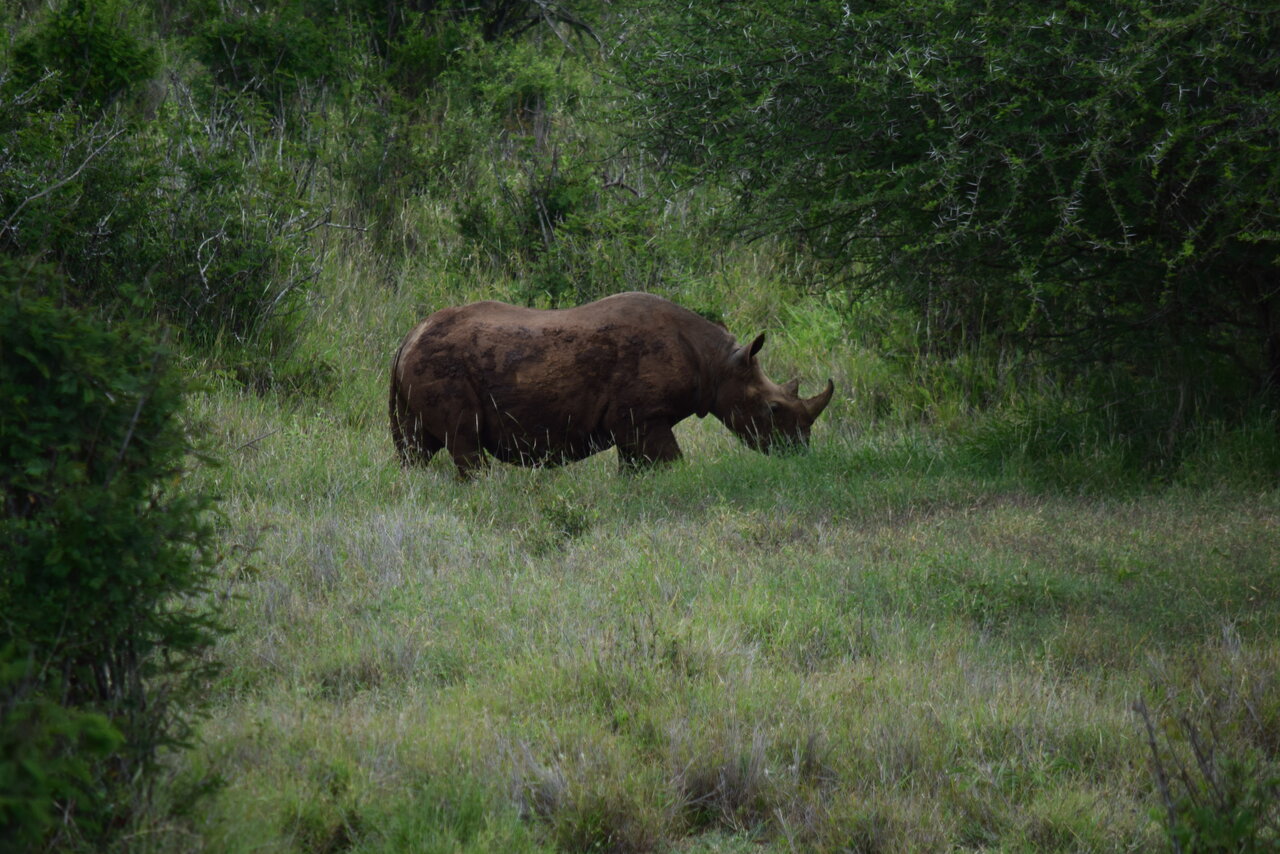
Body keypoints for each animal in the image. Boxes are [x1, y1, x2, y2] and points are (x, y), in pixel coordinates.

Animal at [389, 291, 834, 477]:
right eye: (773, 409)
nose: (800, 451)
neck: (718, 363)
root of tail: (409, 337)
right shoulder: (644, 417)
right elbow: (671, 461)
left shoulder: (632, 422)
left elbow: (635, 467)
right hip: (441, 364)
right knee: (465, 443)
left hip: (417, 366)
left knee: (414, 450)